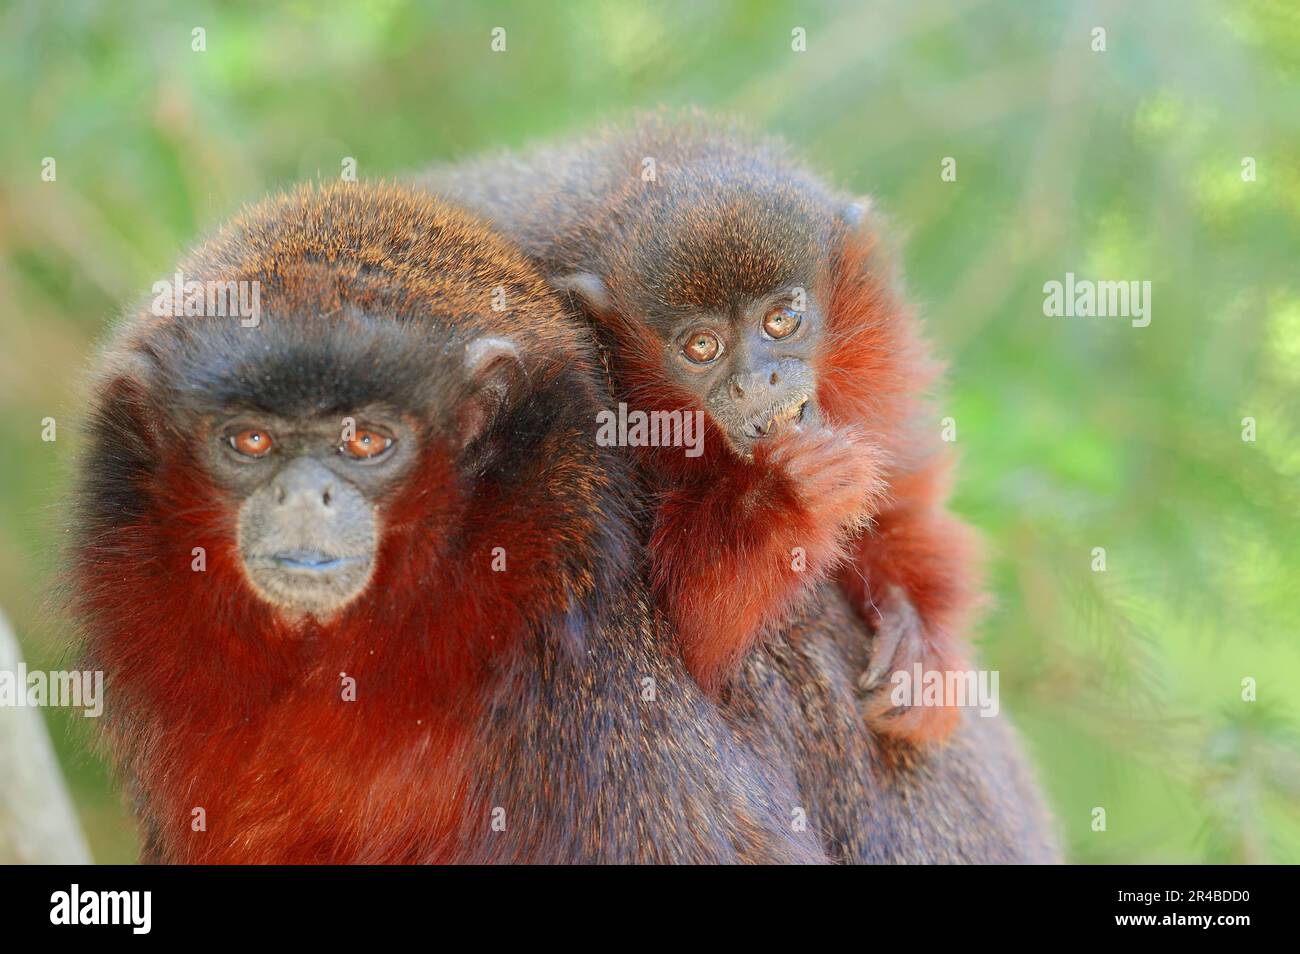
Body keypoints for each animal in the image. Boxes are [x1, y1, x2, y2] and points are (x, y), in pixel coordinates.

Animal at [420, 111, 1061, 861]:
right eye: (702, 347)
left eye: (780, 320)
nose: (759, 381)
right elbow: (694, 626)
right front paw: (793, 493)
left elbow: (901, 504)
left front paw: (923, 650)